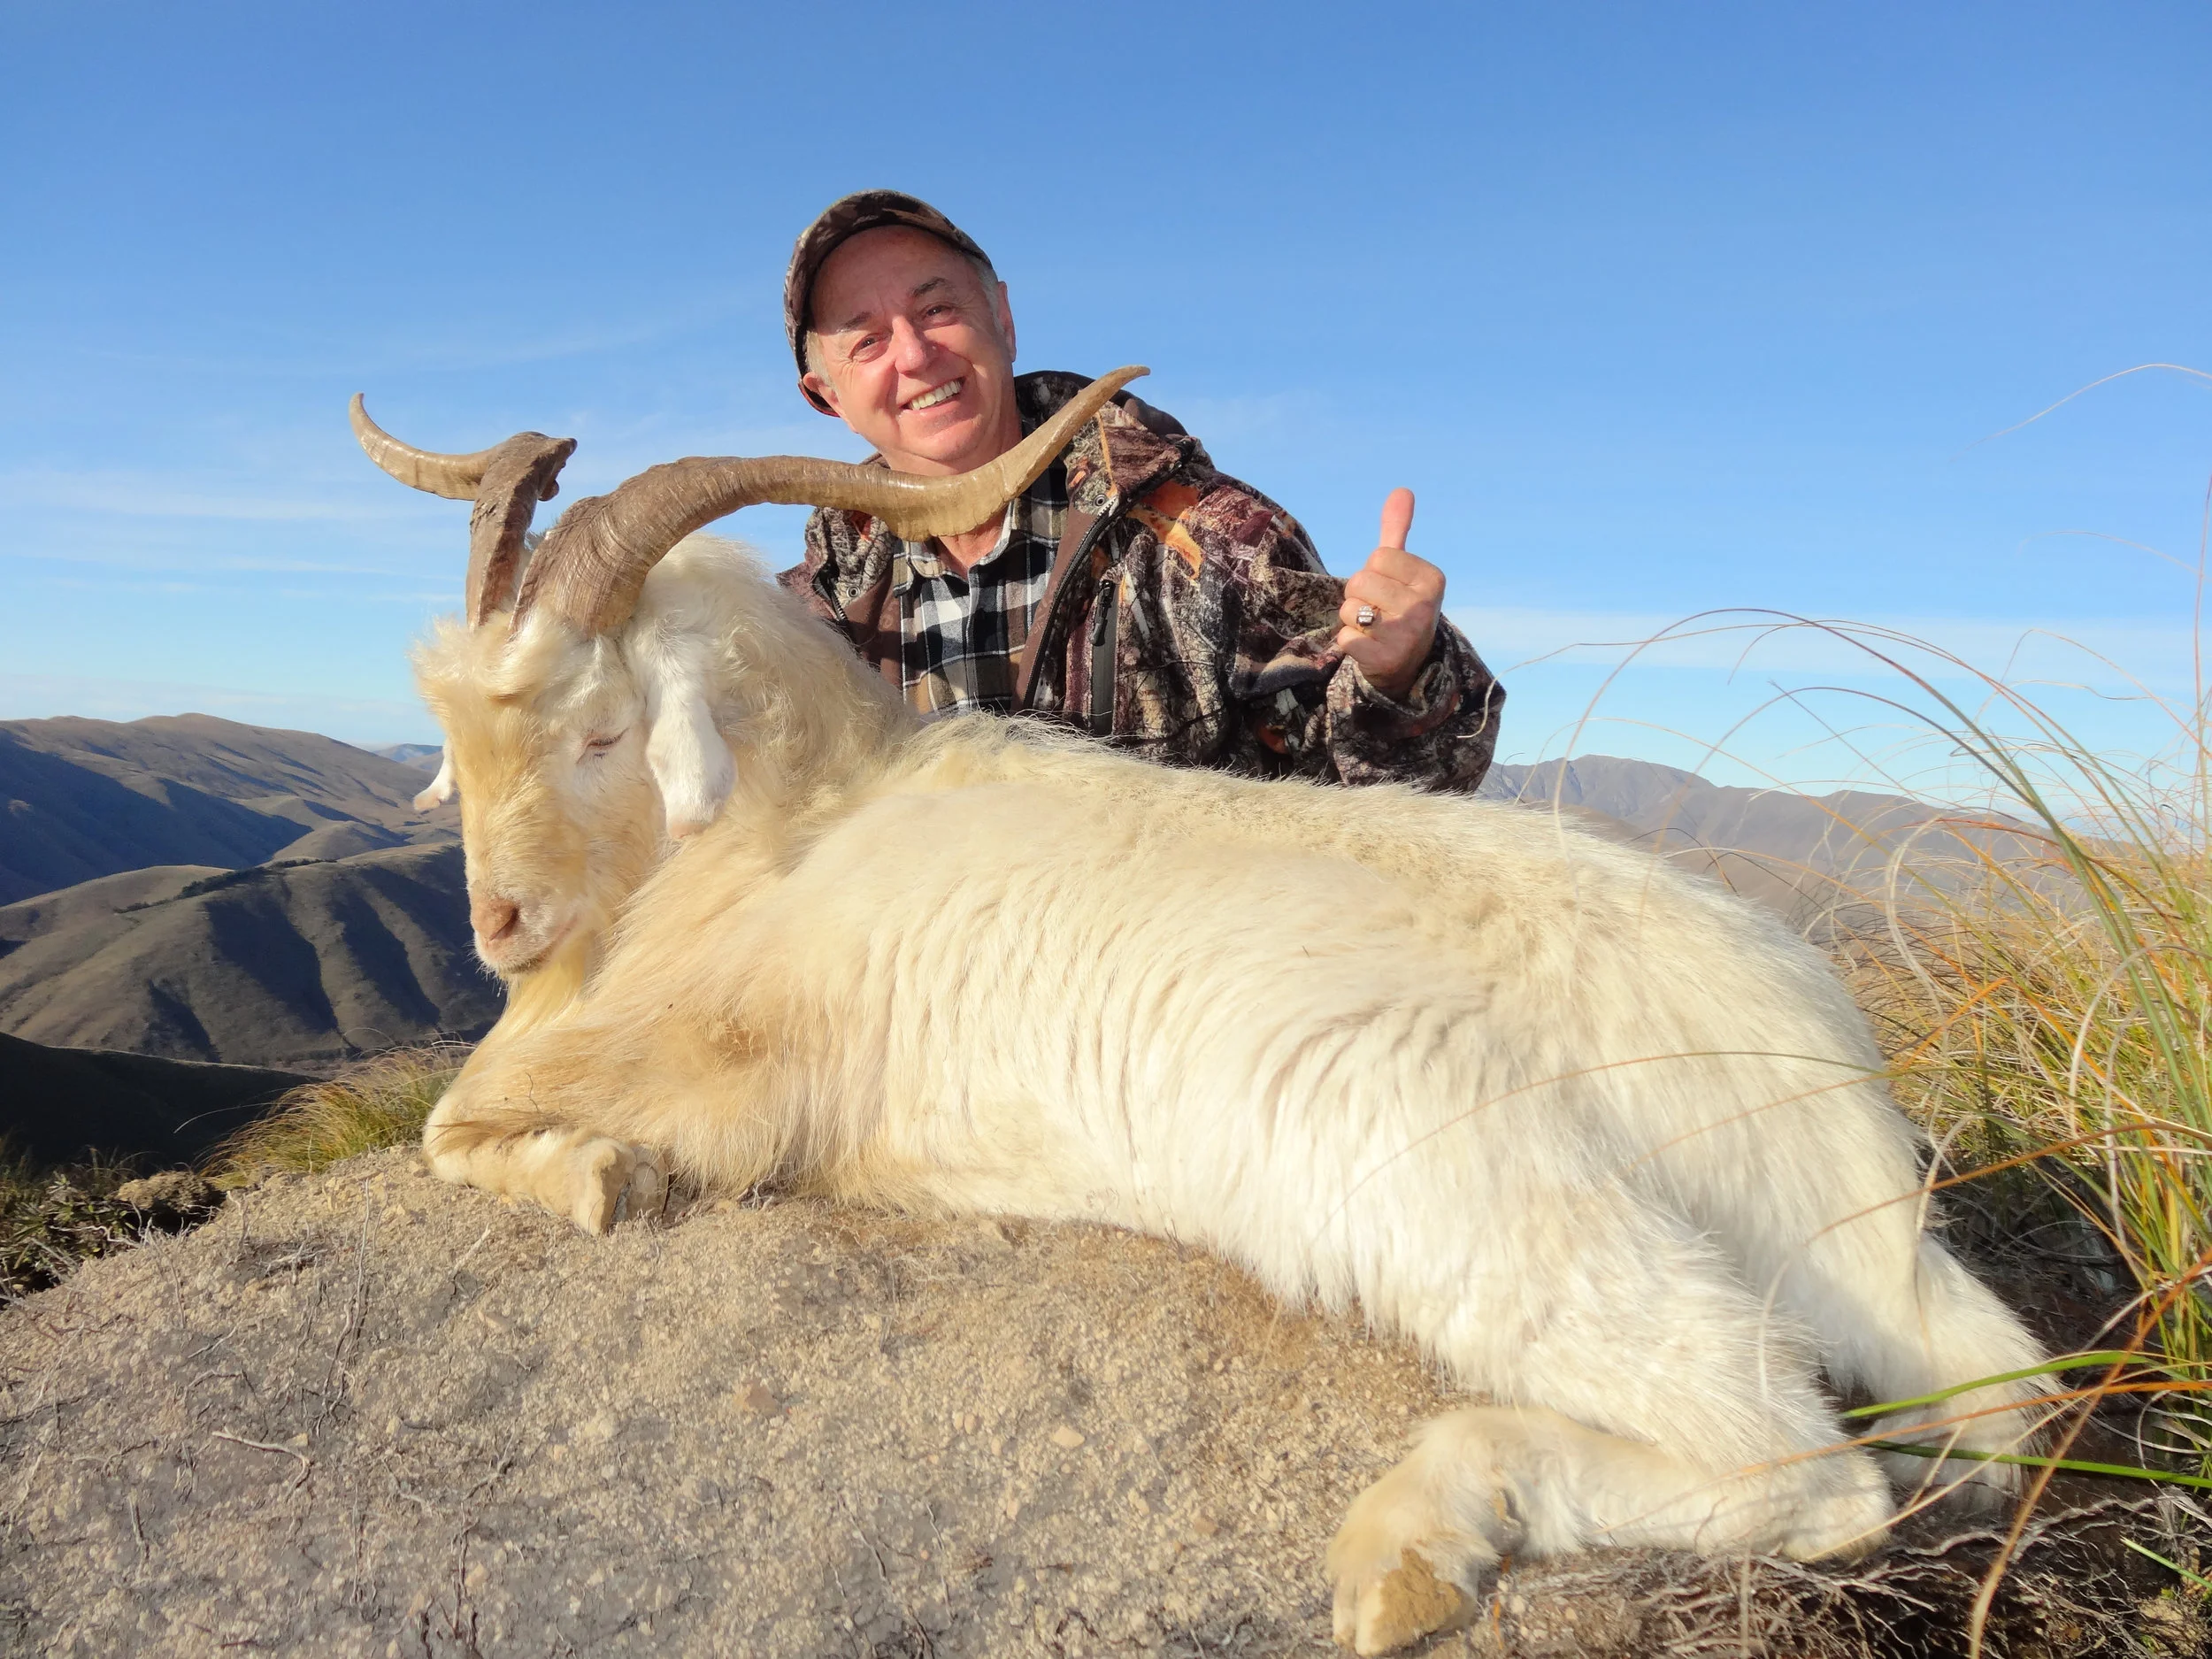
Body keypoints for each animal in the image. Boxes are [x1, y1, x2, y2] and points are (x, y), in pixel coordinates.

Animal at [355, 378, 2051, 1656]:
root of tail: (1776, 1062)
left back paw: (1415, 1538)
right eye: (460, 728)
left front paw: (601, 1177)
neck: (811, 811)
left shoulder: (738, 1078)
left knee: (1802, 1462)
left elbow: (459, 1122)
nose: (500, 925)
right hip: (1853, 1268)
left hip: (1465, 1189)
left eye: (601, 728)